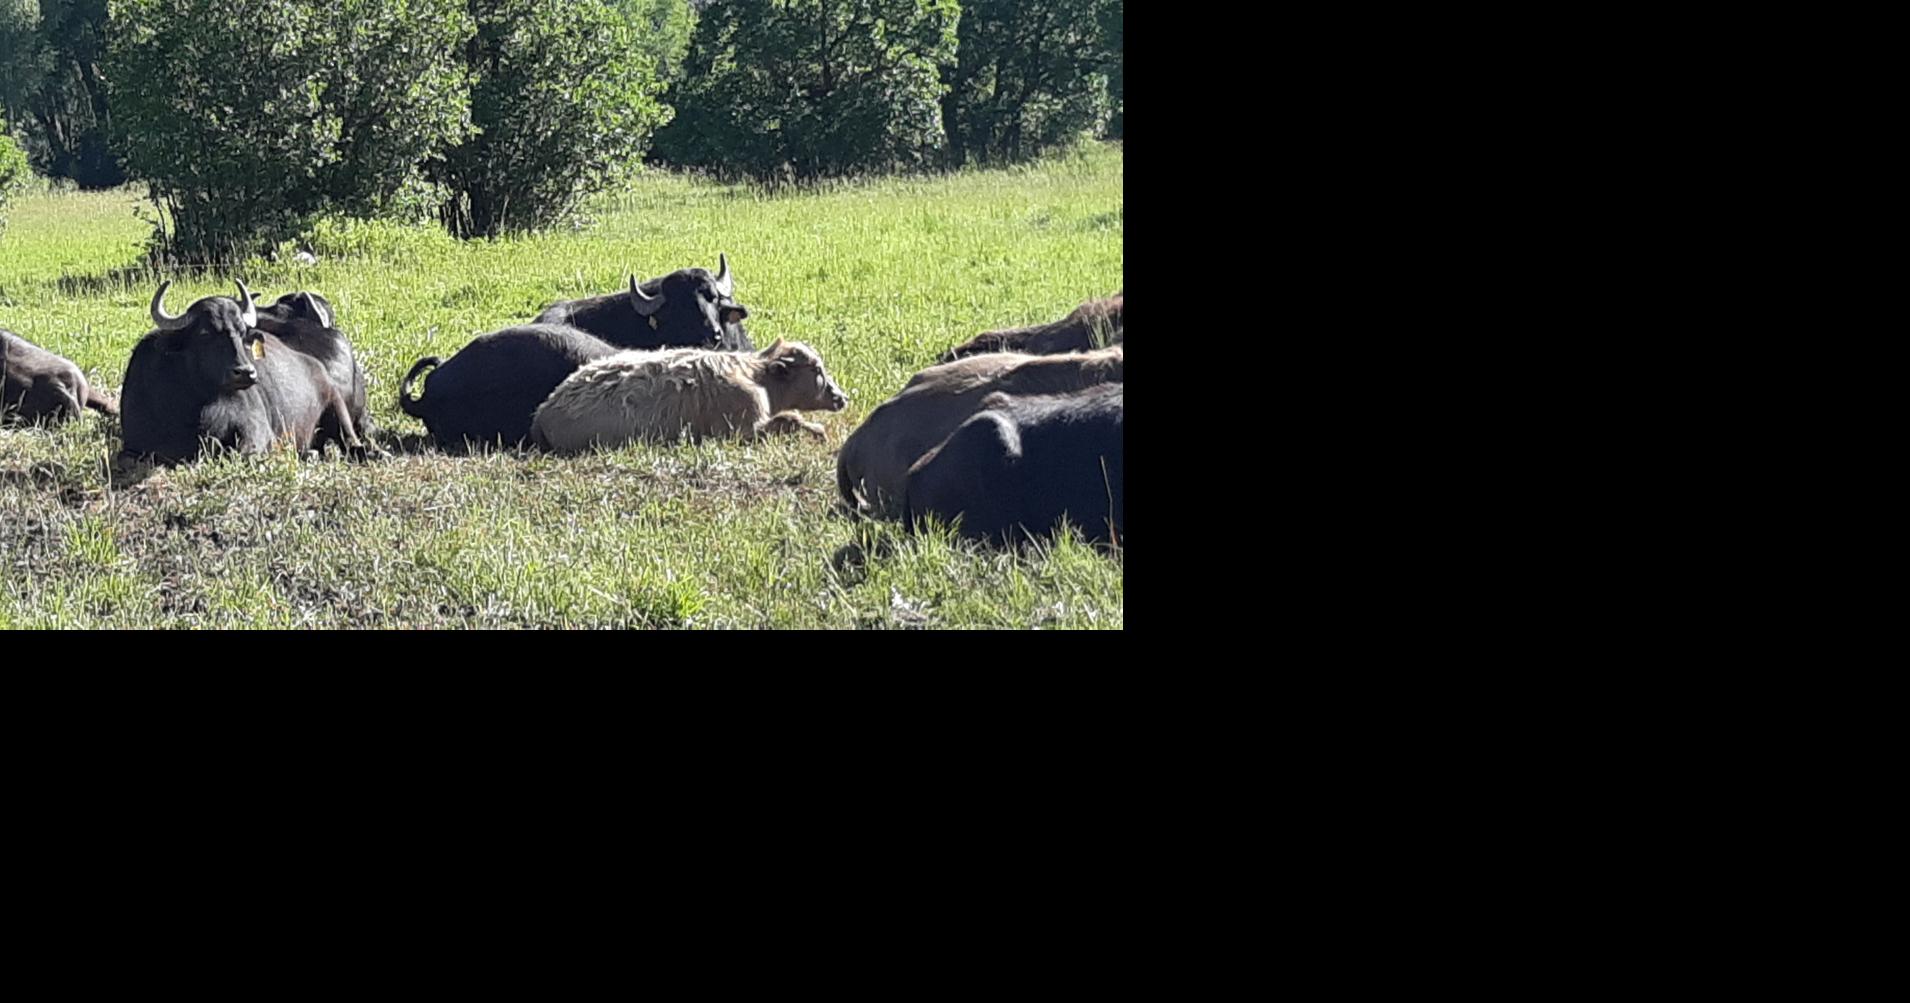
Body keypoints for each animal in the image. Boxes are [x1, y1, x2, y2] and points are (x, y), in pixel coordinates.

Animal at [118, 281, 369, 464]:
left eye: (241, 332)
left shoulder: (257, 430)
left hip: (337, 408)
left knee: (351, 443)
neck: (198, 407)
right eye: (204, 333)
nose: (246, 373)